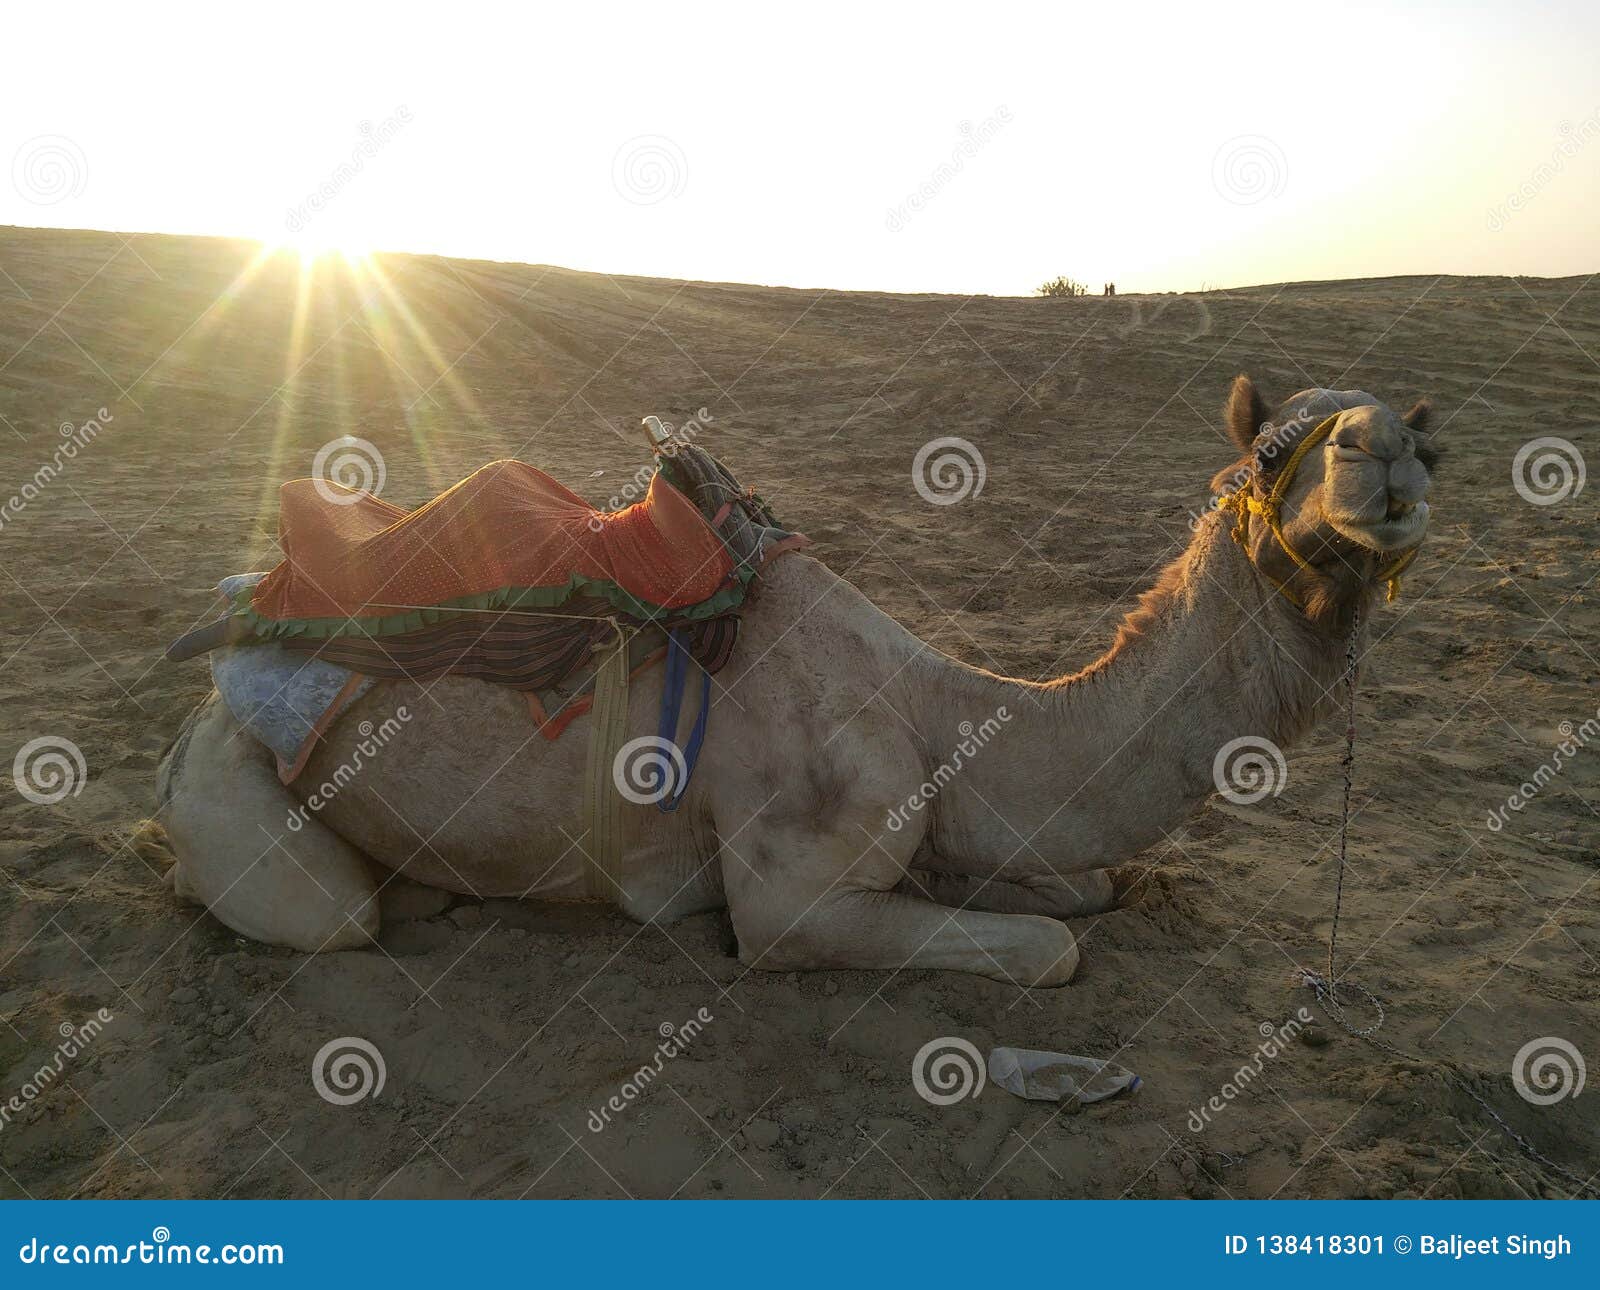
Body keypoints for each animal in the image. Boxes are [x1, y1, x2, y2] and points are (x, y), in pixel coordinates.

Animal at [157, 377, 1438, 985]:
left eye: (1431, 443)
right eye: (1274, 452)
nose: (1386, 456)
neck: (937, 712)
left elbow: (1083, 890)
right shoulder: (792, 899)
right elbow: (1050, 946)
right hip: (238, 796)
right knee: (321, 913)